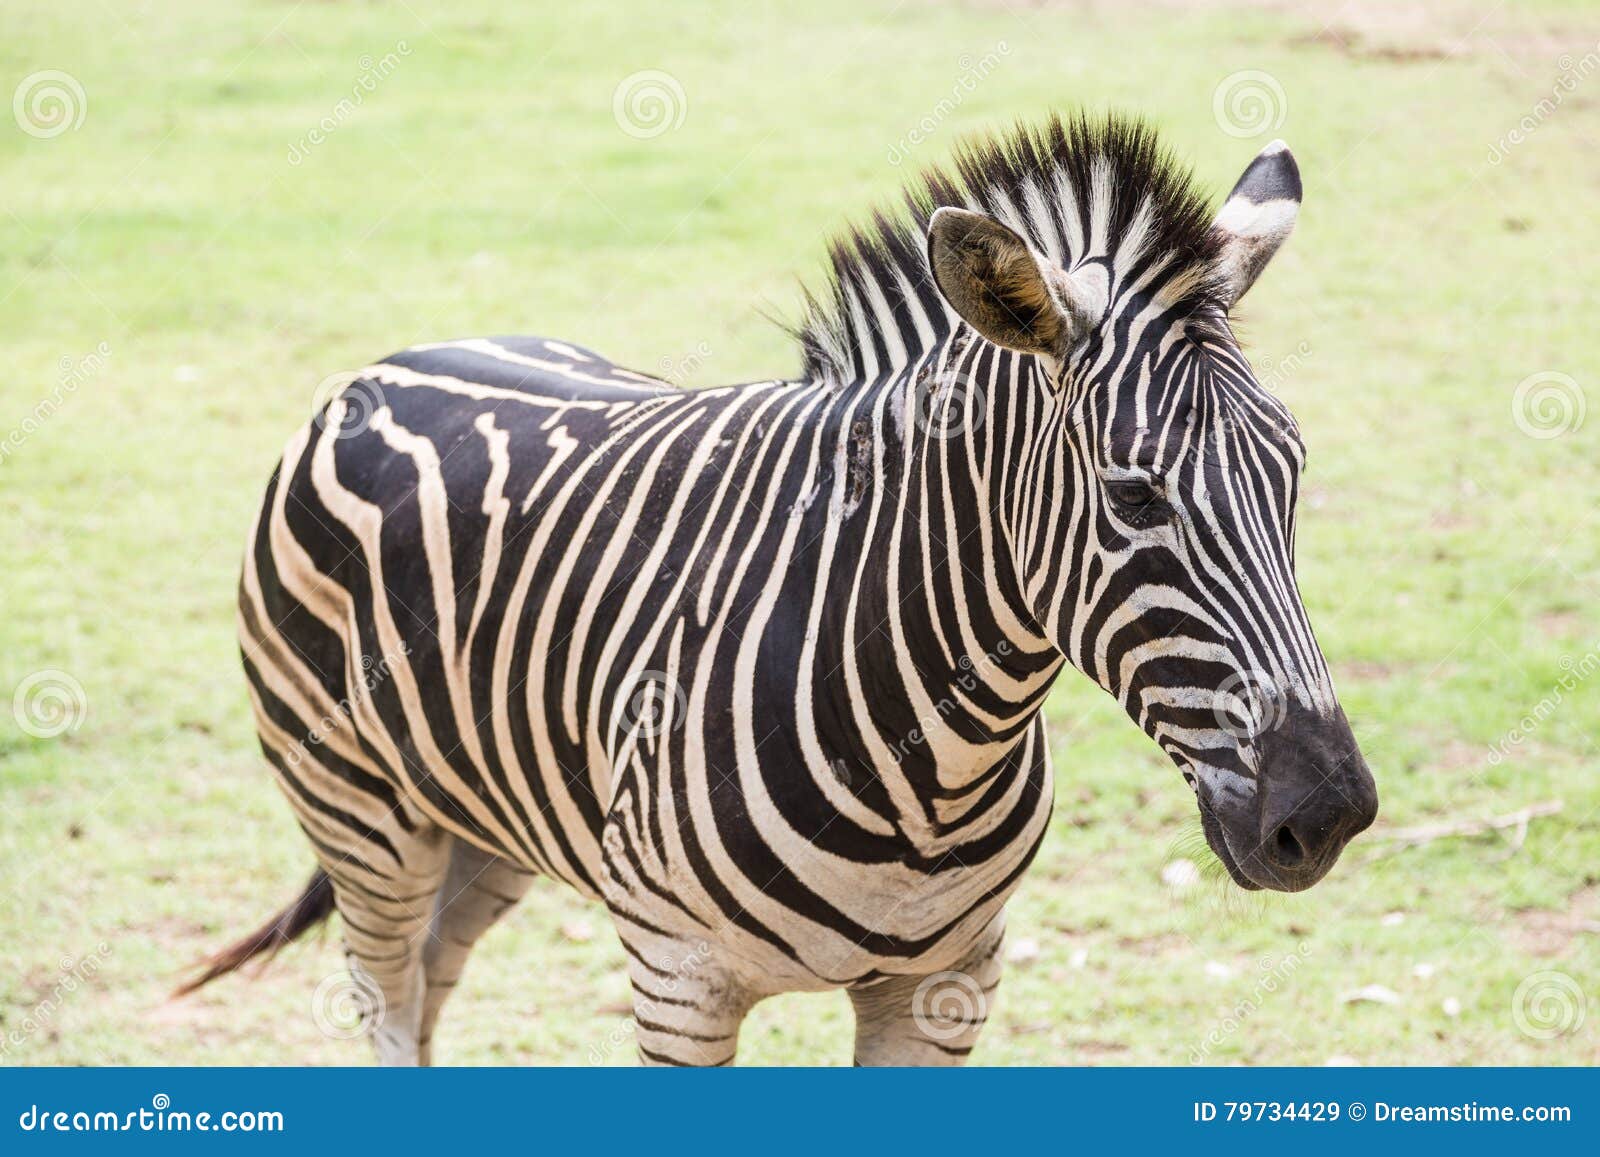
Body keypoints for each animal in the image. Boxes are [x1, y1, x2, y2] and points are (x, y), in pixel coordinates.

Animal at [181, 114, 1377, 1065]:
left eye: (1293, 473)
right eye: (1133, 497)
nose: (1328, 814)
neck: (933, 755)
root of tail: (386, 365)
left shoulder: (946, 986)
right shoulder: (680, 985)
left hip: (485, 820)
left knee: (431, 982)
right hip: (357, 811)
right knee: (387, 999)